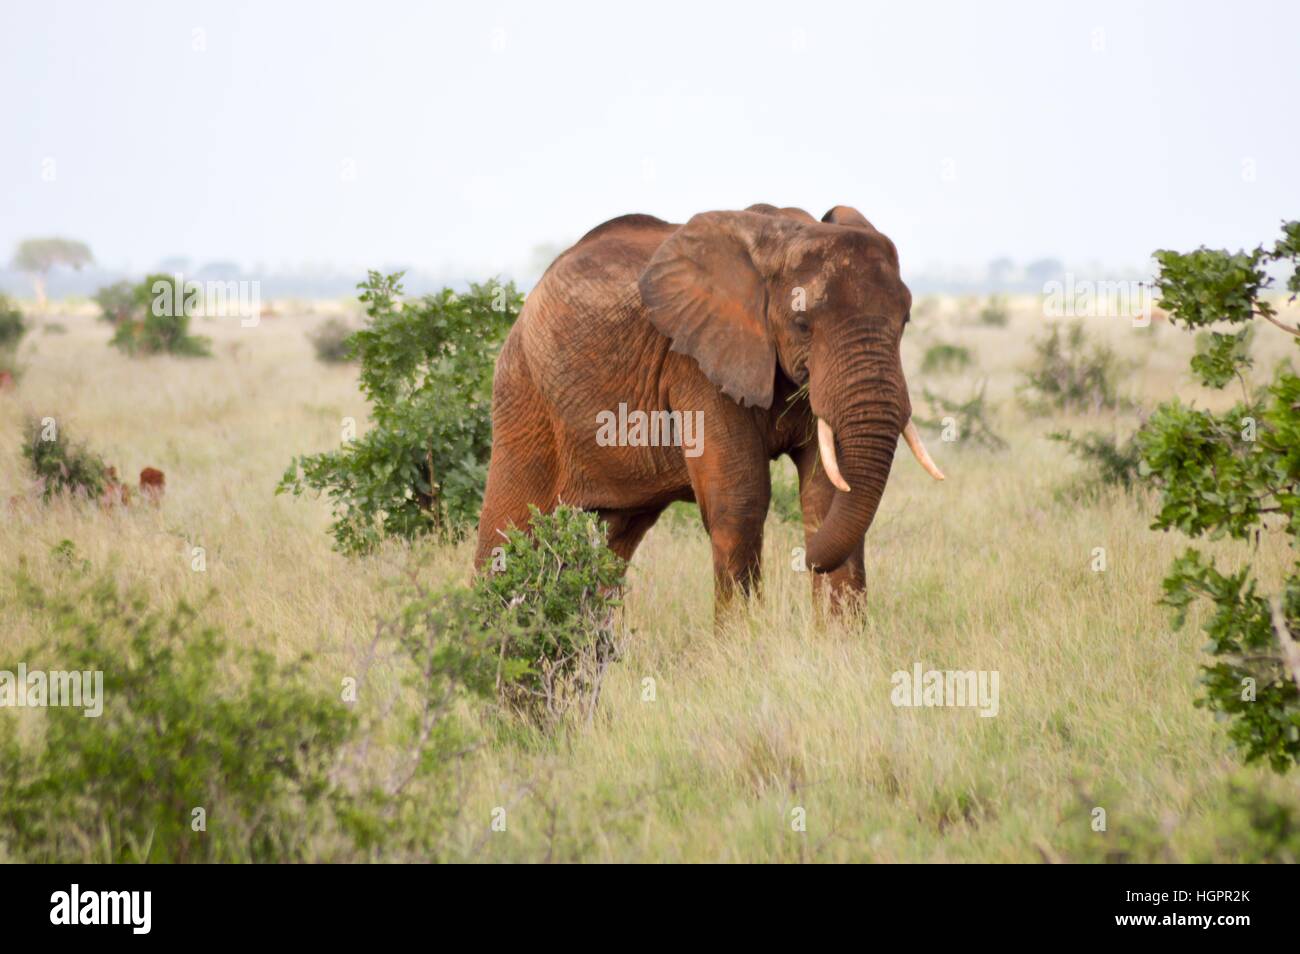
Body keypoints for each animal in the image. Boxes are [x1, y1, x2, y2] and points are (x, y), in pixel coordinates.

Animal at [474, 203, 944, 612]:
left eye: (904, 321)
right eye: (802, 324)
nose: (805, 559)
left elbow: (828, 495)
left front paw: (839, 645)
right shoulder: (695, 364)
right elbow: (740, 504)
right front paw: (743, 645)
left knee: (613, 542)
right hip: (524, 395)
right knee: (507, 534)